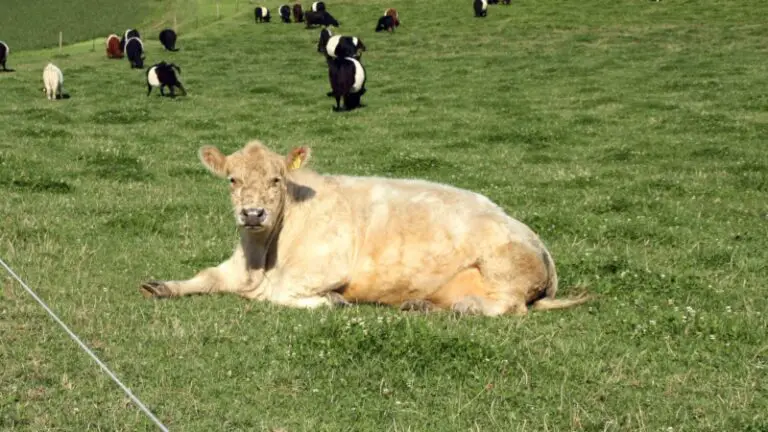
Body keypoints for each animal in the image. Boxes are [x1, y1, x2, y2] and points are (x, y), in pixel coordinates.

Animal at [139, 140, 590, 316]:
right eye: (232, 179)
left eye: (276, 179)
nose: (253, 214)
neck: (261, 258)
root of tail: (536, 239)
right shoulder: (236, 265)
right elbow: (207, 276)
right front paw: (161, 286)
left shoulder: (327, 264)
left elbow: (277, 293)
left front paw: (332, 300)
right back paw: (423, 304)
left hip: (503, 266)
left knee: (507, 307)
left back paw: (455, 308)